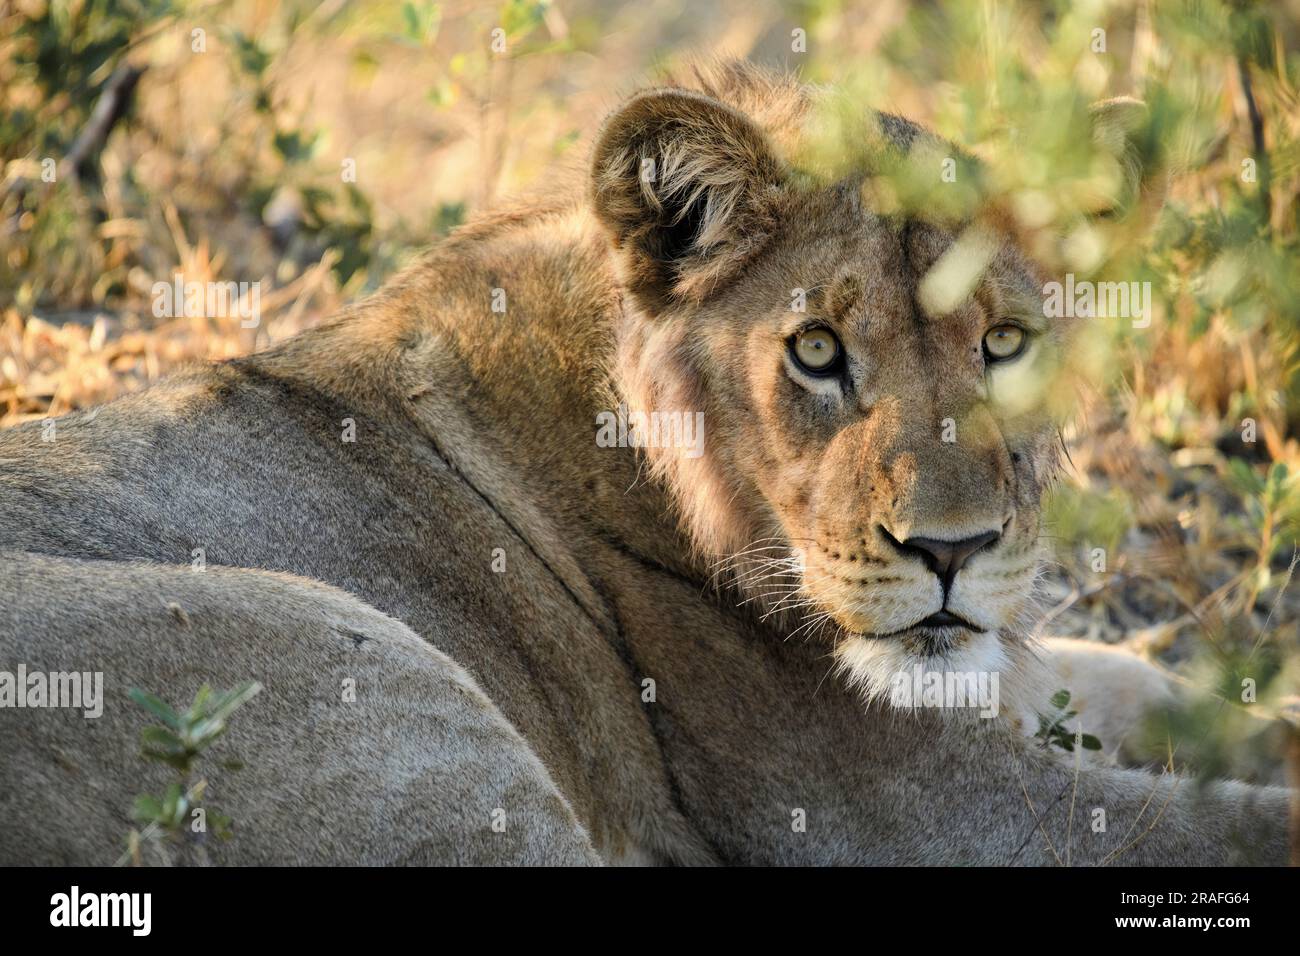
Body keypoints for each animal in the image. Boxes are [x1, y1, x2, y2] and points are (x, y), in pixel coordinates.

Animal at [0, 61, 1288, 865]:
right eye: (816, 352)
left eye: (1006, 344)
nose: (952, 551)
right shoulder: (907, 808)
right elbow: (1217, 821)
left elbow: (1152, 684)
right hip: (340, 650)